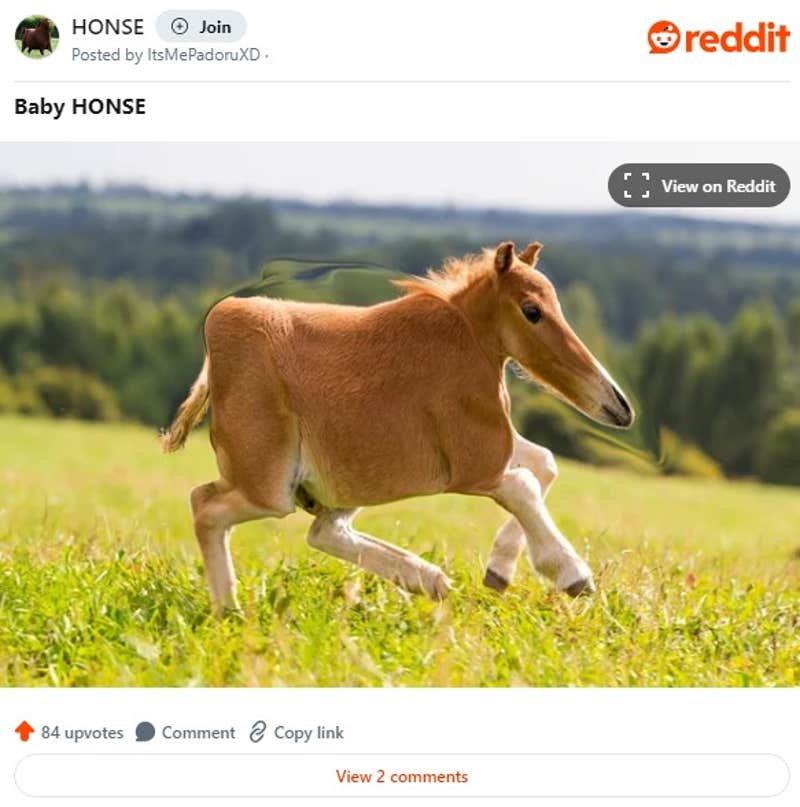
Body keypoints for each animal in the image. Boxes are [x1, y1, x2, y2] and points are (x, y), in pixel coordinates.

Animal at [162, 241, 634, 614]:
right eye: (531, 310)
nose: (620, 408)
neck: (468, 342)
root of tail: (215, 335)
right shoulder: (477, 468)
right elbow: (524, 485)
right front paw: (573, 575)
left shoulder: (497, 446)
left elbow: (545, 464)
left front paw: (498, 572)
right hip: (270, 486)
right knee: (205, 506)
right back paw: (229, 609)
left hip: (337, 483)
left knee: (324, 531)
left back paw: (428, 579)